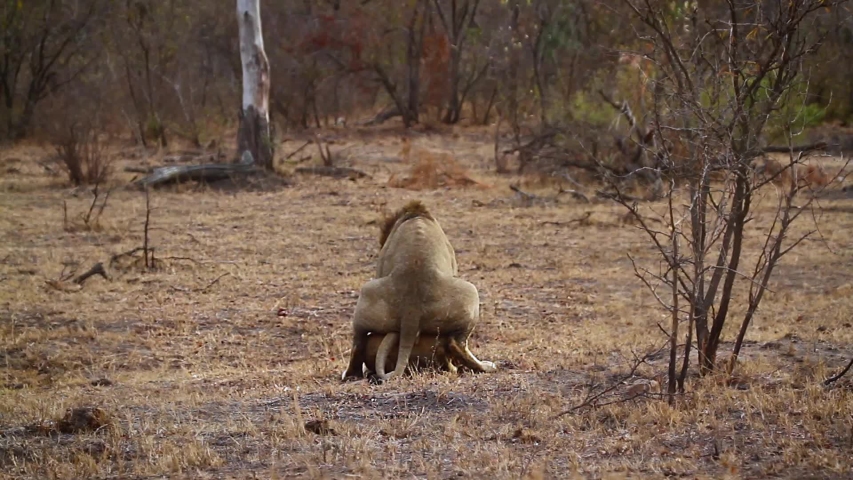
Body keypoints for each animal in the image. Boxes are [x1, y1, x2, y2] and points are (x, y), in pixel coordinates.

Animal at [341, 200, 497, 382]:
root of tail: (411, 310)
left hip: (367, 299)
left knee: (359, 342)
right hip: (471, 291)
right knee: (456, 343)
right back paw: (486, 366)